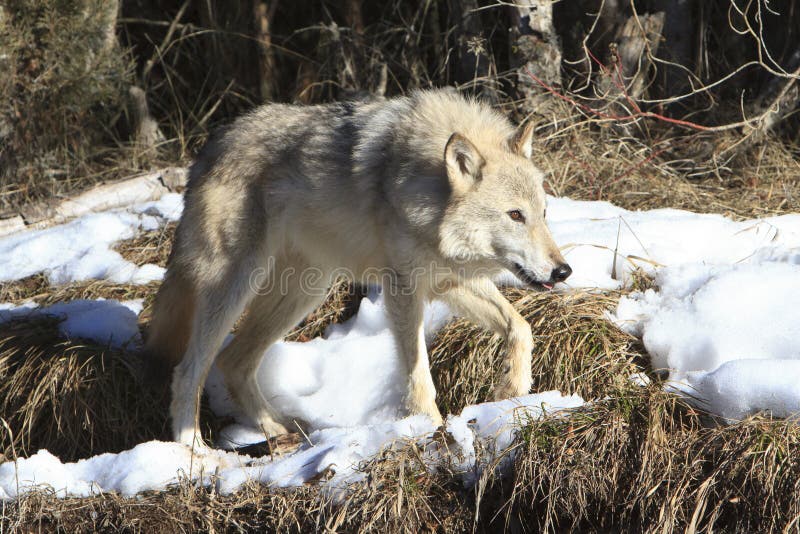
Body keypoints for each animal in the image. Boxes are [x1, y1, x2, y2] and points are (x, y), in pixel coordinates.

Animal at [146, 89, 572, 448]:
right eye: (515, 215)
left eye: (544, 213)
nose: (563, 271)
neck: (422, 190)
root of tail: (211, 147)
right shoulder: (403, 288)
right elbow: (419, 374)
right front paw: (433, 429)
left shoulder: (446, 281)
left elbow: (520, 327)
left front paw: (511, 391)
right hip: (234, 288)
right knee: (189, 371)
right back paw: (195, 452)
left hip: (304, 292)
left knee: (233, 362)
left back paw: (277, 430)